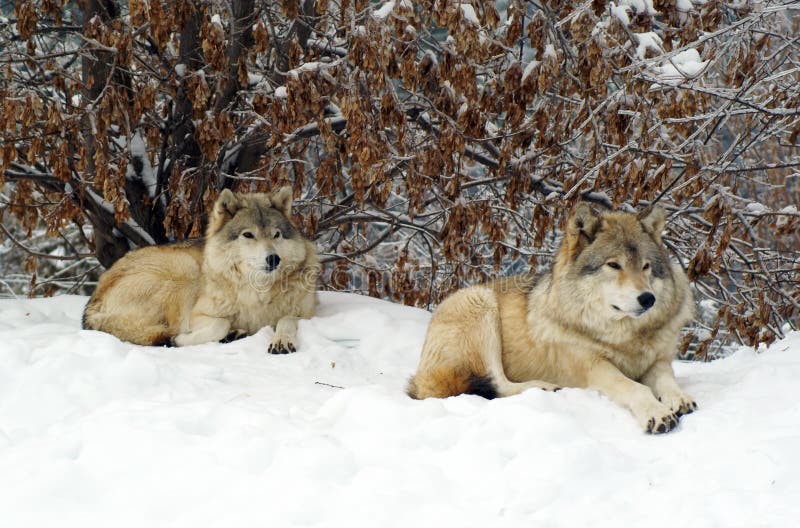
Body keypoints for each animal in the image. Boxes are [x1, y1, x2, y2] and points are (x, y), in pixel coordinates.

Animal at [83, 186, 320, 353]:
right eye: (248, 235)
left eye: (276, 234)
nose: (273, 259)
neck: (257, 292)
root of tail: (92, 303)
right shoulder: (195, 315)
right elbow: (219, 324)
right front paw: (182, 339)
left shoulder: (306, 314)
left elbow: (286, 320)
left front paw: (282, 340)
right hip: (185, 269)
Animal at [407, 204, 697, 433]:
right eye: (614, 265)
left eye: (646, 266)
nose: (648, 299)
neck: (624, 336)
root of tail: (419, 379)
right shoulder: (595, 367)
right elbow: (634, 387)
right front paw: (656, 413)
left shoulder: (658, 362)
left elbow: (666, 380)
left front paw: (679, 399)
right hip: (480, 304)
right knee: (496, 383)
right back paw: (544, 388)